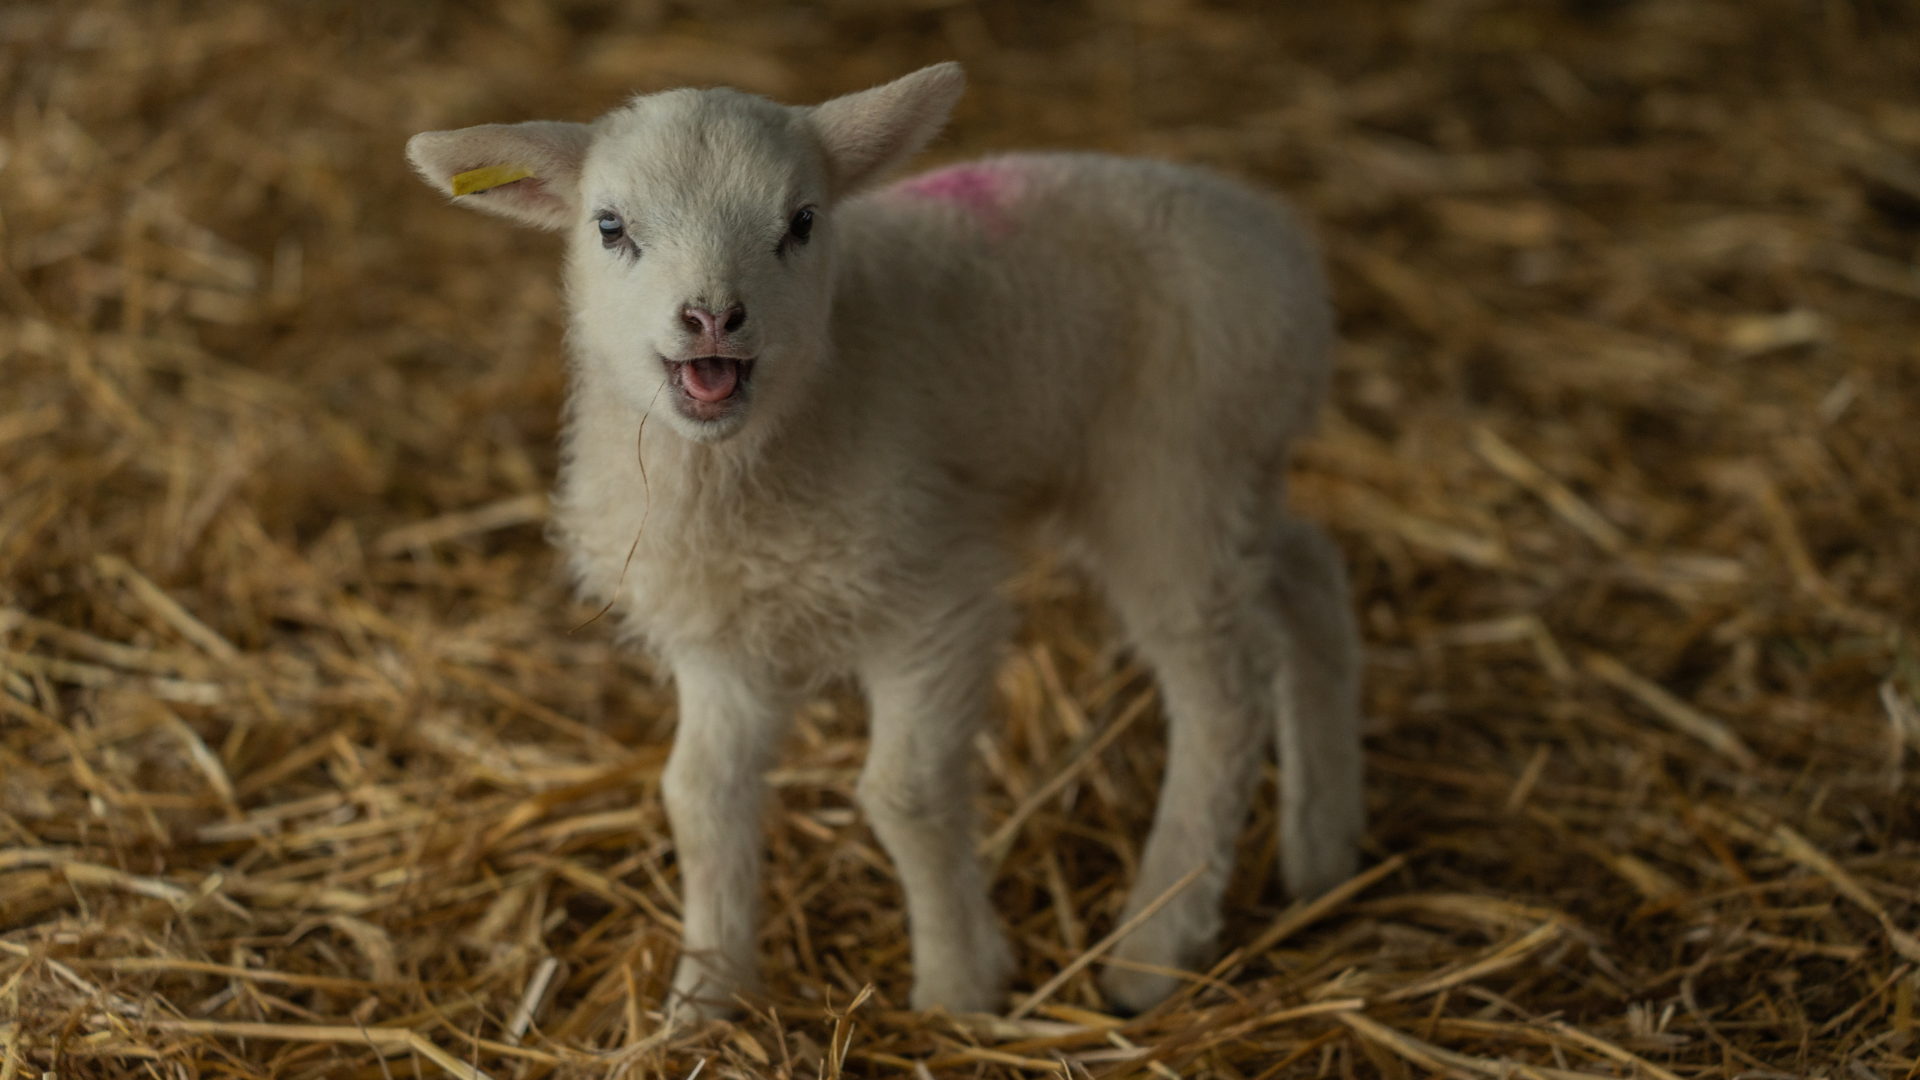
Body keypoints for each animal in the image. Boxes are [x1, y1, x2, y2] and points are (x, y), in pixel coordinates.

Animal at [405, 62, 1363, 1018]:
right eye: (610, 226)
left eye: (800, 221)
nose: (713, 317)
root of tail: (1284, 246)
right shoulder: (722, 636)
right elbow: (698, 798)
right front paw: (702, 1002)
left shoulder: (932, 598)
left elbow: (906, 796)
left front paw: (958, 988)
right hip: (1228, 475)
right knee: (1309, 573)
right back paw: (1322, 855)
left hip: (1173, 473)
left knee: (1222, 693)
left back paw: (1154, 948)